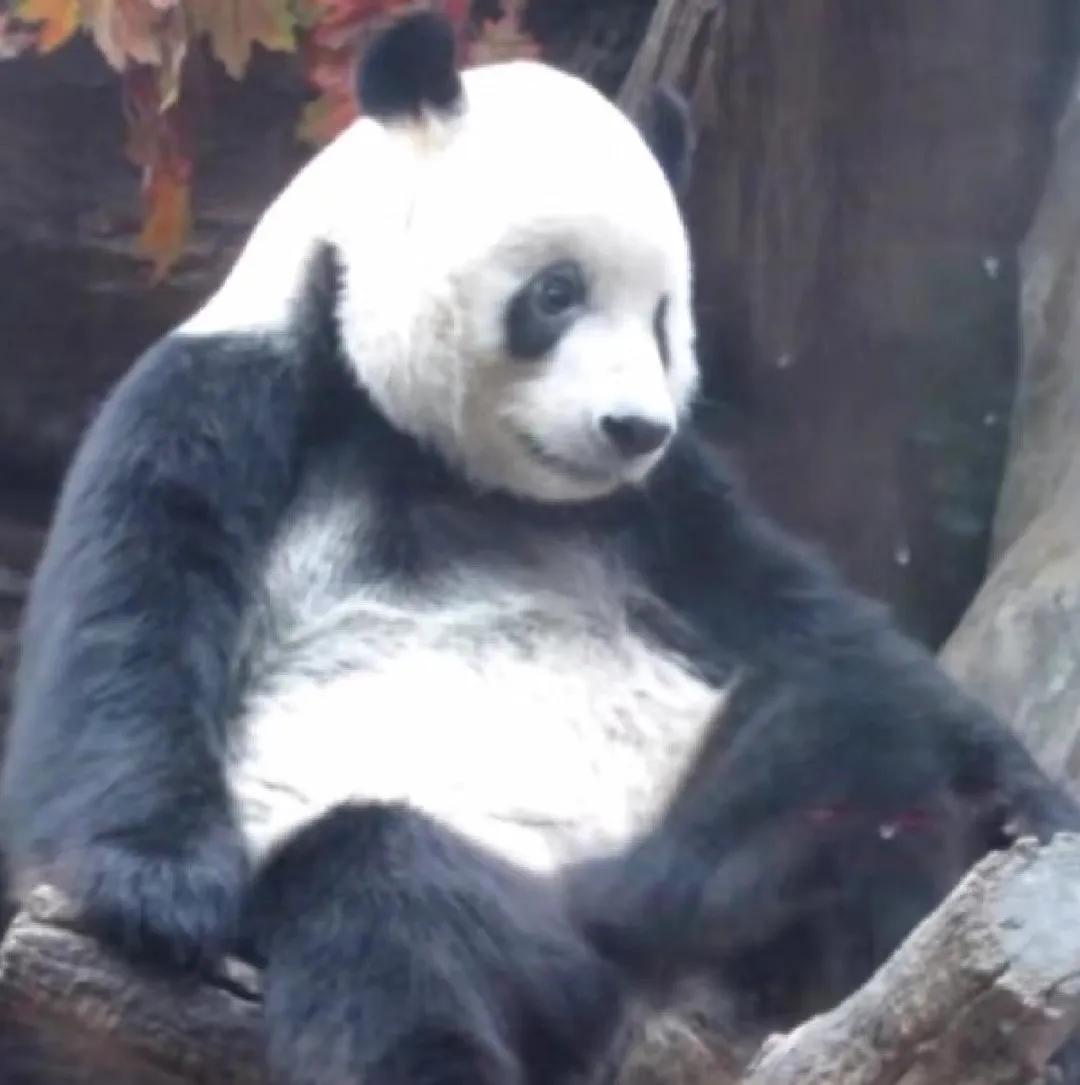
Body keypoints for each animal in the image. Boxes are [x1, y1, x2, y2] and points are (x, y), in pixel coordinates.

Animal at [3, 11, 1079, 1085]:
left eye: (663, 318)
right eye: (556, 293)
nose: (632, 426)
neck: (452, 466)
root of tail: (657, 997)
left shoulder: (665, 508)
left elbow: (814, 618)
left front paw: (1032, 805)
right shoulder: (226, 396)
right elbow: (132, 610)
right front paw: (155, 888)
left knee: (858, 748)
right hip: (488, 895)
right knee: (393, 907)